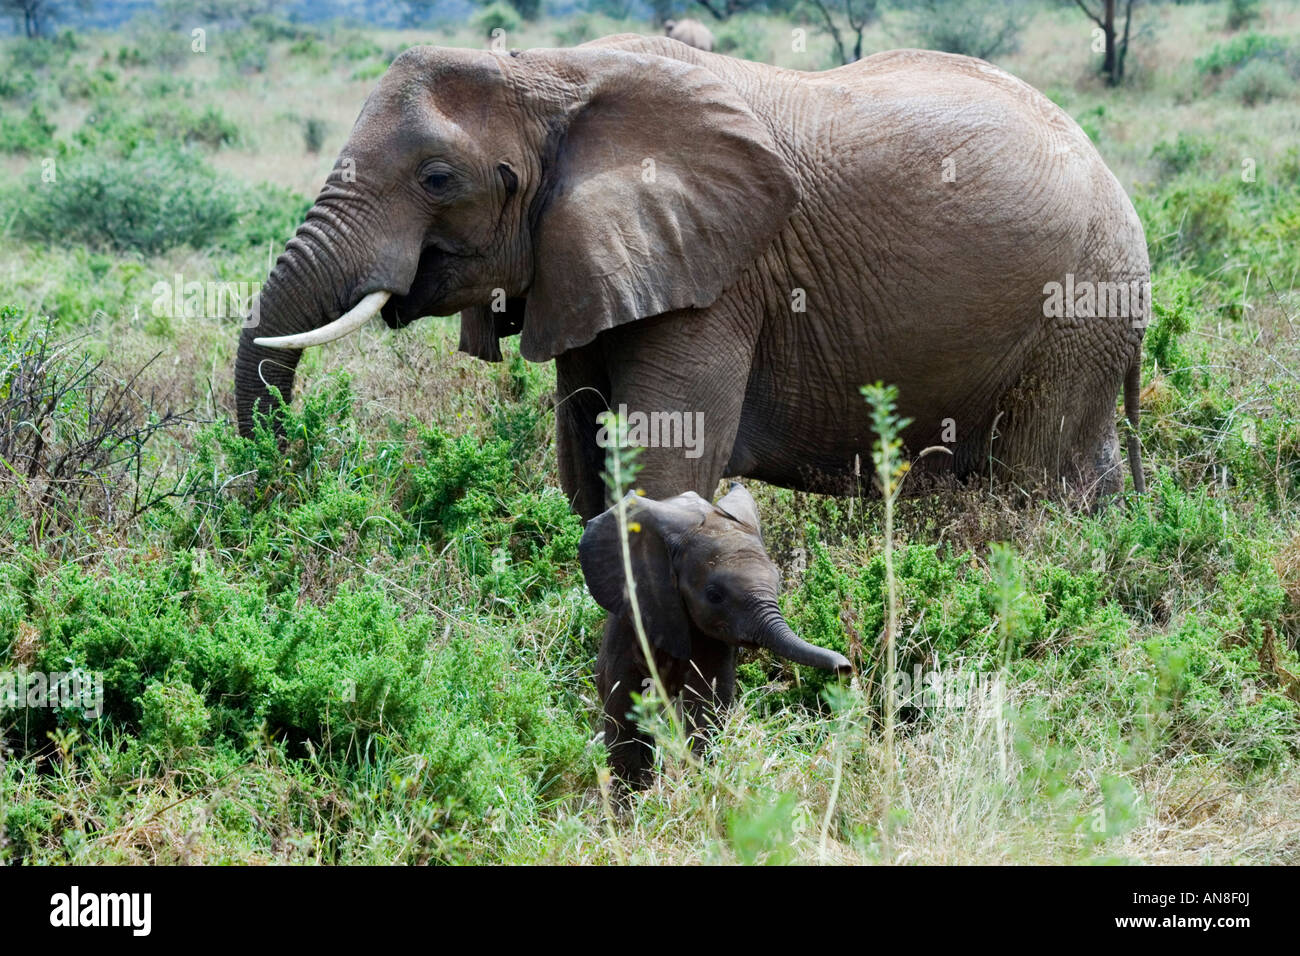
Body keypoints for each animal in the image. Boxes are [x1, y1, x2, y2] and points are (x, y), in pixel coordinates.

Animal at [236, 36, 1148, 522]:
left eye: (435, 179)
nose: (270, 486)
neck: (553, 73)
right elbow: (586, 467)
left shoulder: (721, 278)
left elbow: (662, 475)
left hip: (1076, 316)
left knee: (1034, 493)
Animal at [580, 483, 851, 786]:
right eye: (714, 595)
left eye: (778, 582)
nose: (845, 669)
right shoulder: (633, 612)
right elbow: (624, 701)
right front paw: (633, 797)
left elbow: (707, 700)